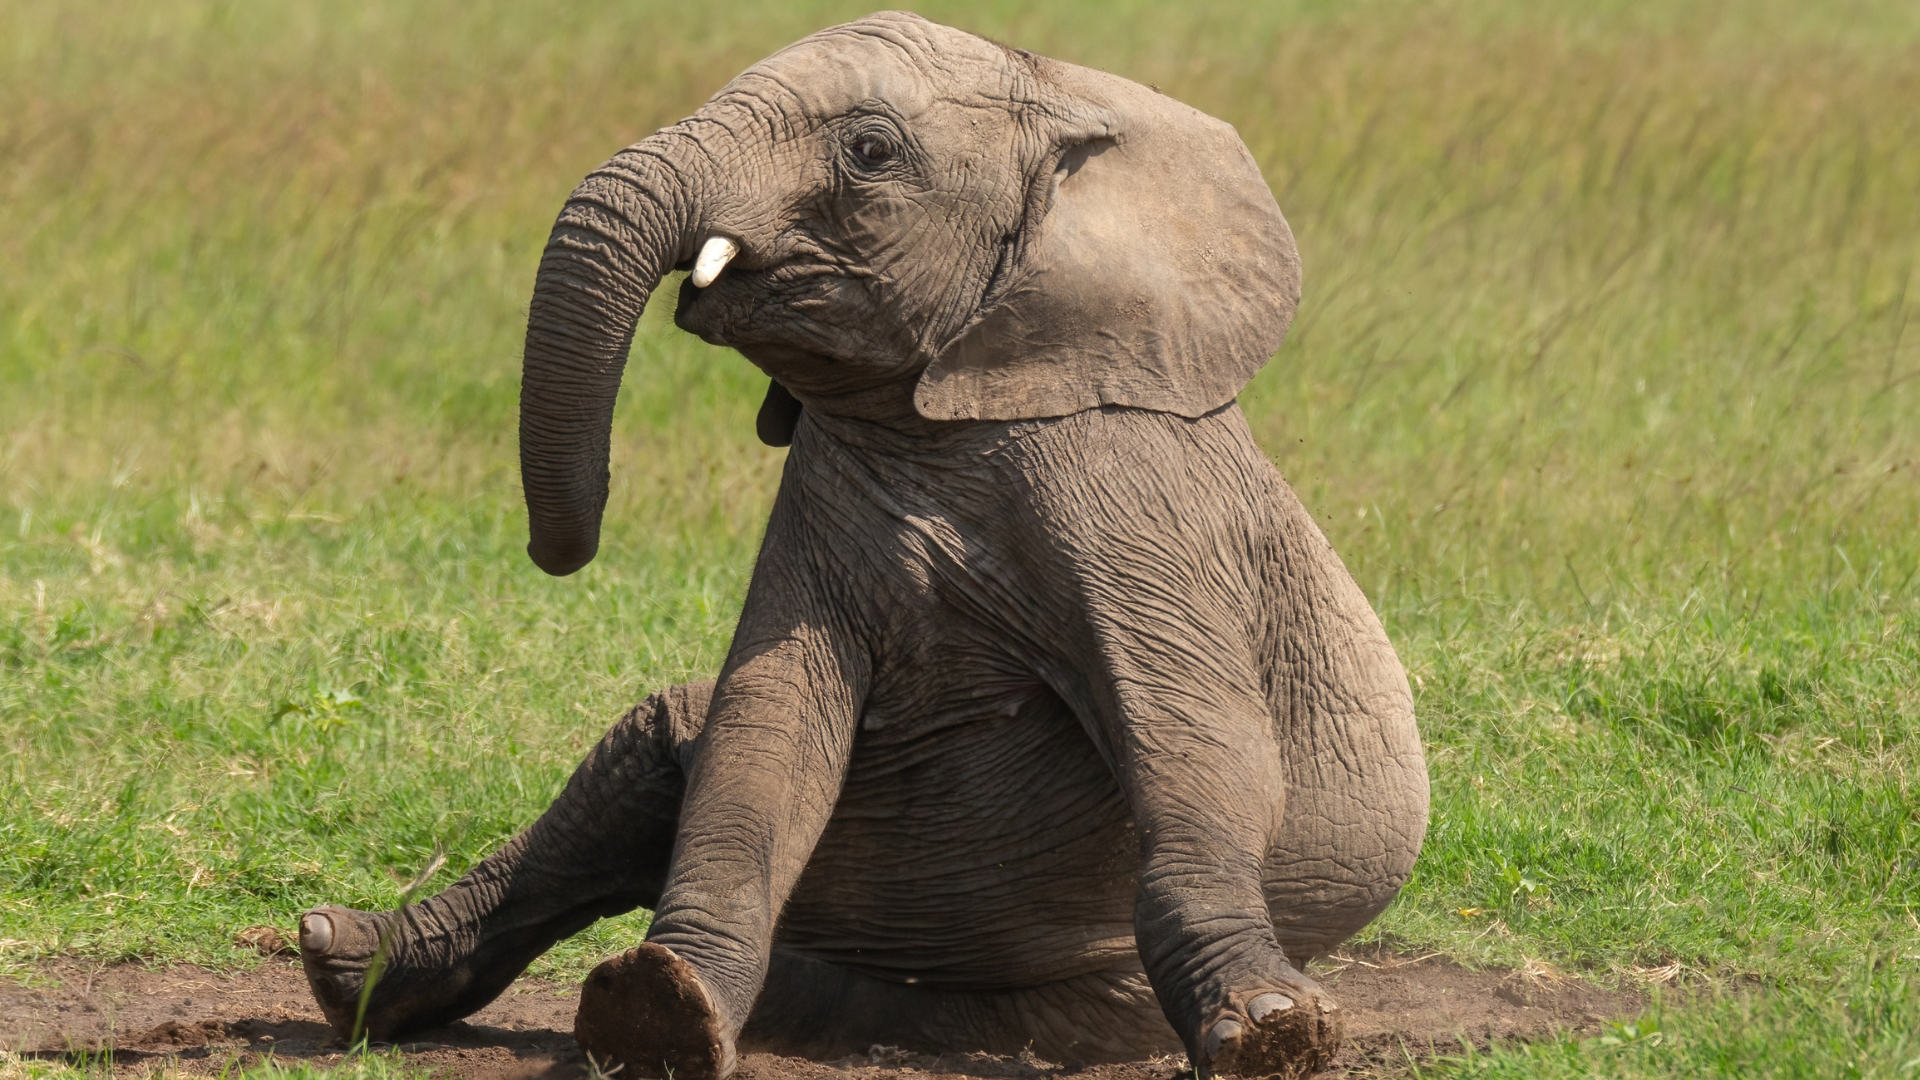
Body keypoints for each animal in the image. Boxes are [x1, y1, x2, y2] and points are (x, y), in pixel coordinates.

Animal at [294, 12, 1428, 1080]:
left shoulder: (1126, 488)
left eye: (870, 151)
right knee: (658, 744)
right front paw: (660, 1013)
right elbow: (769, 726)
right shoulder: (826, 488)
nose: (561, 549)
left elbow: (1198, 734)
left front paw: (1272, 1032)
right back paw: (345, 961)